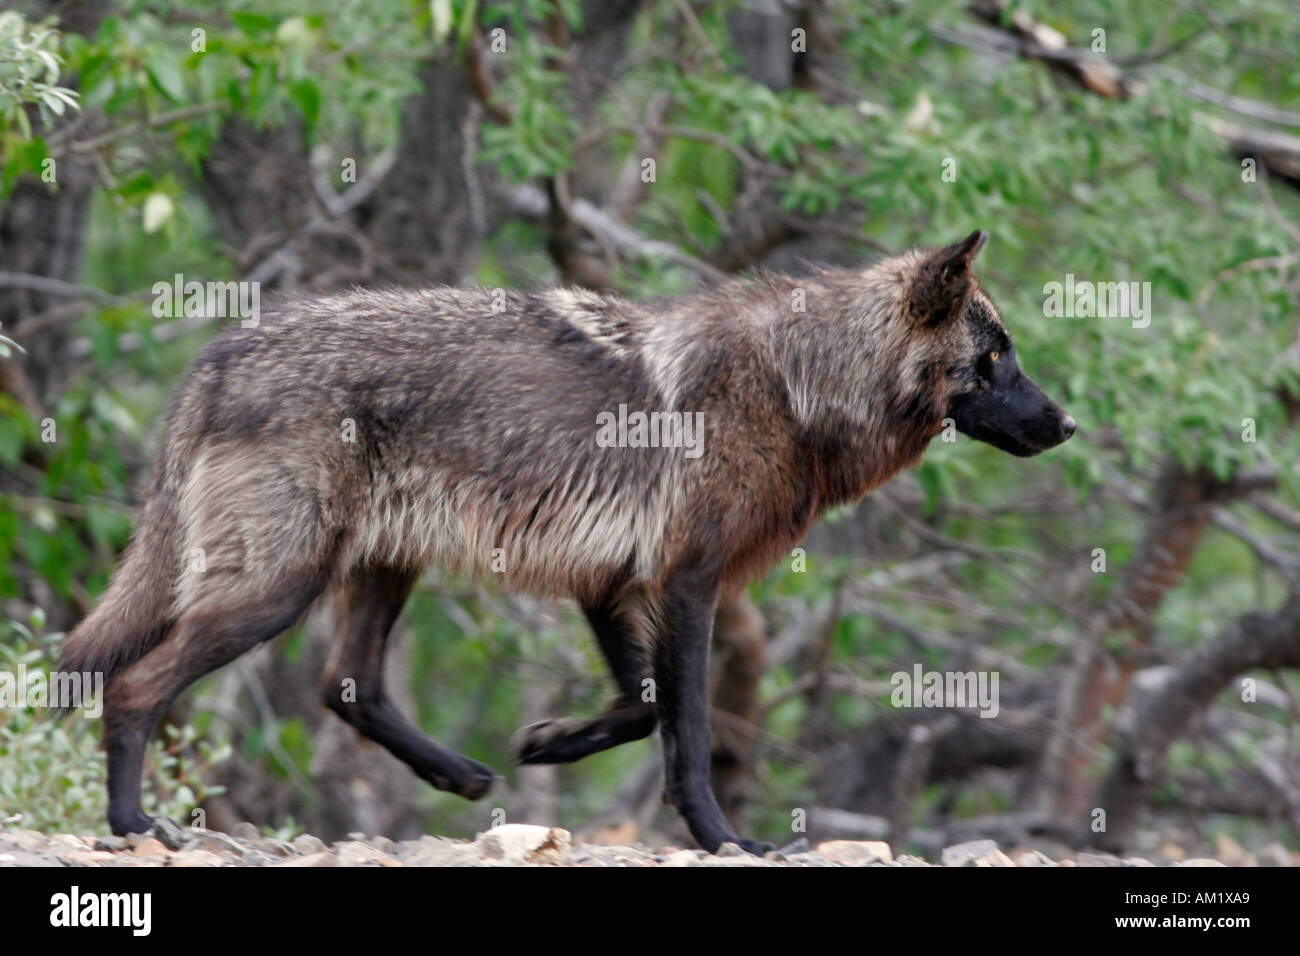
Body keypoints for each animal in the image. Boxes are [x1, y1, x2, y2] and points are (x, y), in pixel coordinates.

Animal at [60, 229, 1074, 854]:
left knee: (347, 685)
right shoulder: (689, 585)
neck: (800, 388)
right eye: (996, 359)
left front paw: (547, 744)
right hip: (276, 592)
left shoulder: (612, 582)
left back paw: (461, 775)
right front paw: (724, 840)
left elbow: (640, 709)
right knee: (136, 685)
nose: (1068, 425)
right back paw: (133, 822)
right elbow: (688, 731)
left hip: (378, 572)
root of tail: (216, 356)